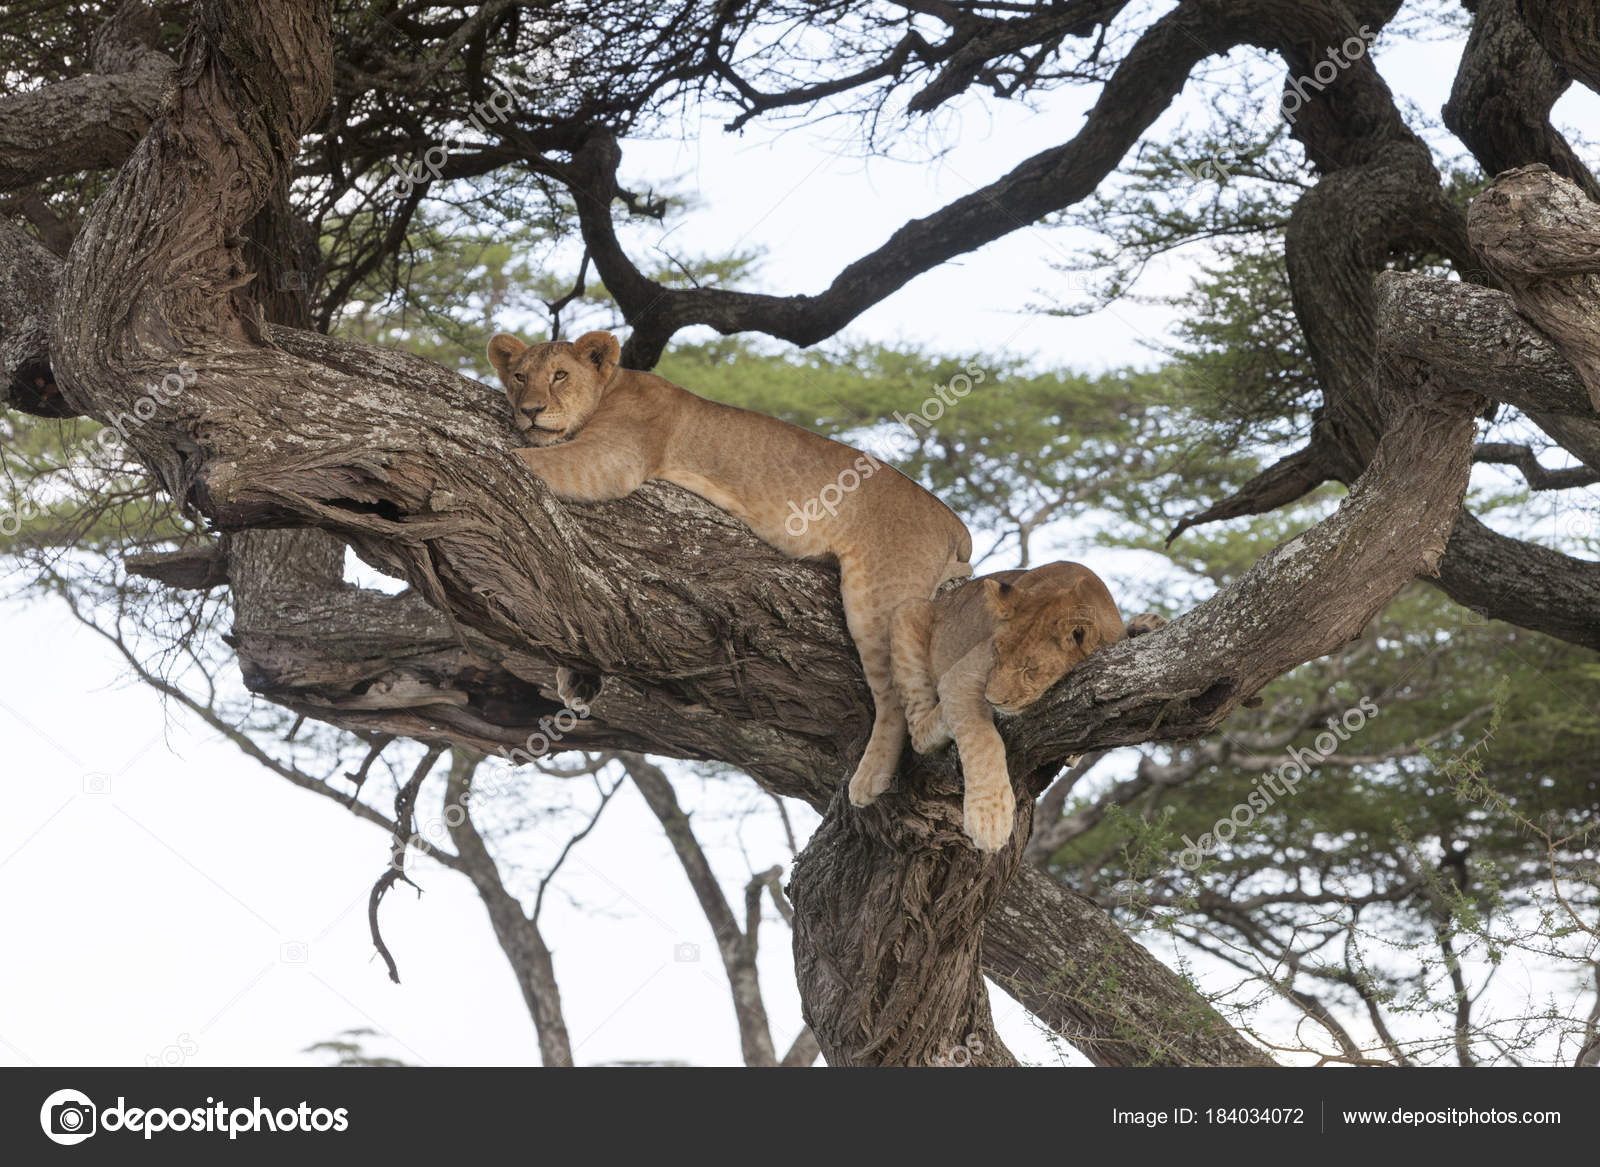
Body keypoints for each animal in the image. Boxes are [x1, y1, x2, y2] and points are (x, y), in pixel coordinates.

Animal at [486, 330, 973, 800]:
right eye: (519, 376)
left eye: (560, 376)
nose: (530, 411)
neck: (612, 387)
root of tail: (953, 522)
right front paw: (578, 677)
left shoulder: (609, 458)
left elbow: (523, 459)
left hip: (878, 594)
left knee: (892, 695)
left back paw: (869, 779)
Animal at [888, 561, 1166, 852]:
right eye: (997, 652)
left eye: (1030, 668)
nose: (992, 700)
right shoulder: (960, 675)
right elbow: (982, 740)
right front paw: (989, 818)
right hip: (906, 615)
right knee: (917, 731)